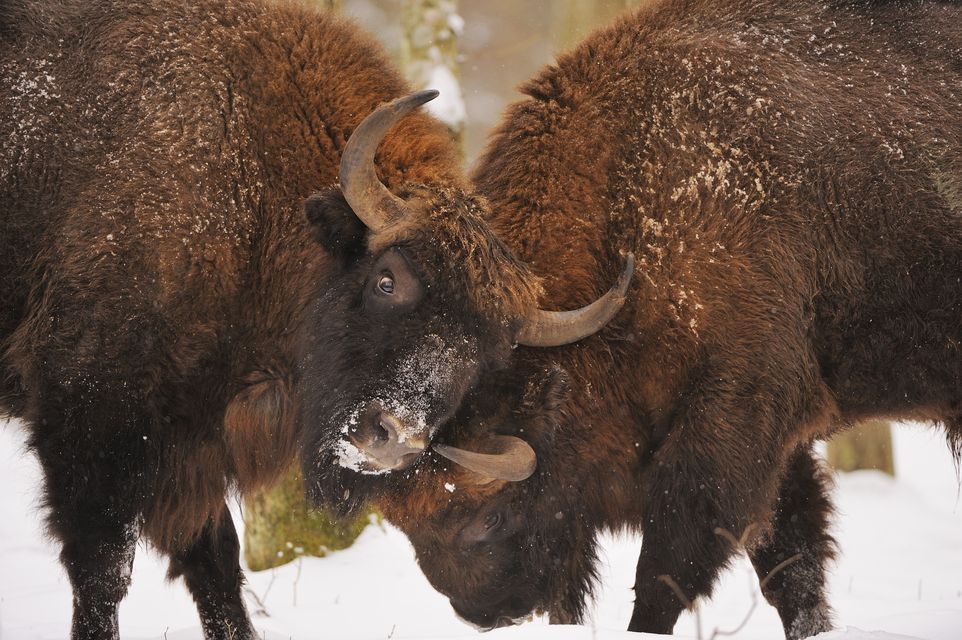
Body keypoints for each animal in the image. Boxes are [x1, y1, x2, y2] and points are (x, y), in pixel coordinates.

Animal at [0, 0, 625, 638]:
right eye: (386, 279)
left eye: (489, 351)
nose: (394, 440)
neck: (248, 189)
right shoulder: (89, 421)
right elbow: (104, 567)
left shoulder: (194, 447)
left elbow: (215, 562)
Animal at [377, 0, 962, 638]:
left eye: (489, 515)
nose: (486, 612)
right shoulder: (779, 444)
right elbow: (790, 566)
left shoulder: (731, 419)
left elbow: (668, 567)